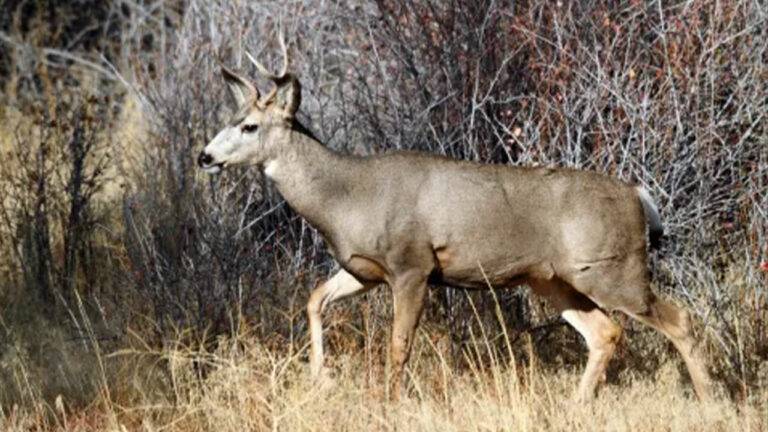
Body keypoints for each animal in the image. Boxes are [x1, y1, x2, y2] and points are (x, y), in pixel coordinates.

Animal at [197, 36, 713, 403]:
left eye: (249, 126)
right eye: (230, 117)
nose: (204, 156)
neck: (346, 197)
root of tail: (638, 195)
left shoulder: (413, 265)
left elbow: (399, 343)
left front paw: (391, 402)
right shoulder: (364, 269)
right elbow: (314, 301)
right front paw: (320, 379)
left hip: (613, 268)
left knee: (680, 319)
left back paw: (710, 400)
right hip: (553, 279)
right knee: (605, 332)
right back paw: (577, 405)